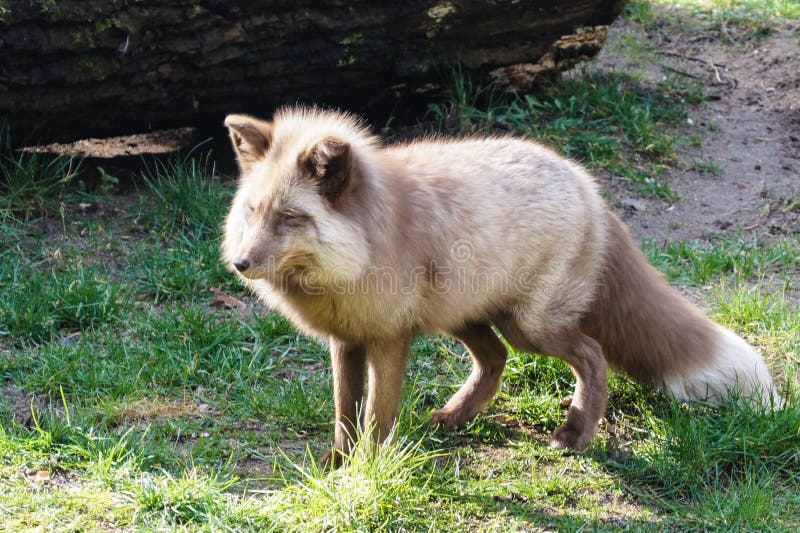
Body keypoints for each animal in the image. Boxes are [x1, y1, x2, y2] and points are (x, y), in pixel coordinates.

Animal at [221, 106, 781, 465]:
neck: (362, 251)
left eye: (290, 217)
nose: (241, 264)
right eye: (253, 211)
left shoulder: (388, 338)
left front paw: (370, 467)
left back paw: (575, 435)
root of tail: (590, 189)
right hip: (468, 317)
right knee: (495, 362)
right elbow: (344, 412)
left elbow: (378, 415)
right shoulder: (346, 340)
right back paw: (453, 418)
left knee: (593, 356)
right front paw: (338, 464)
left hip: (532, 327)